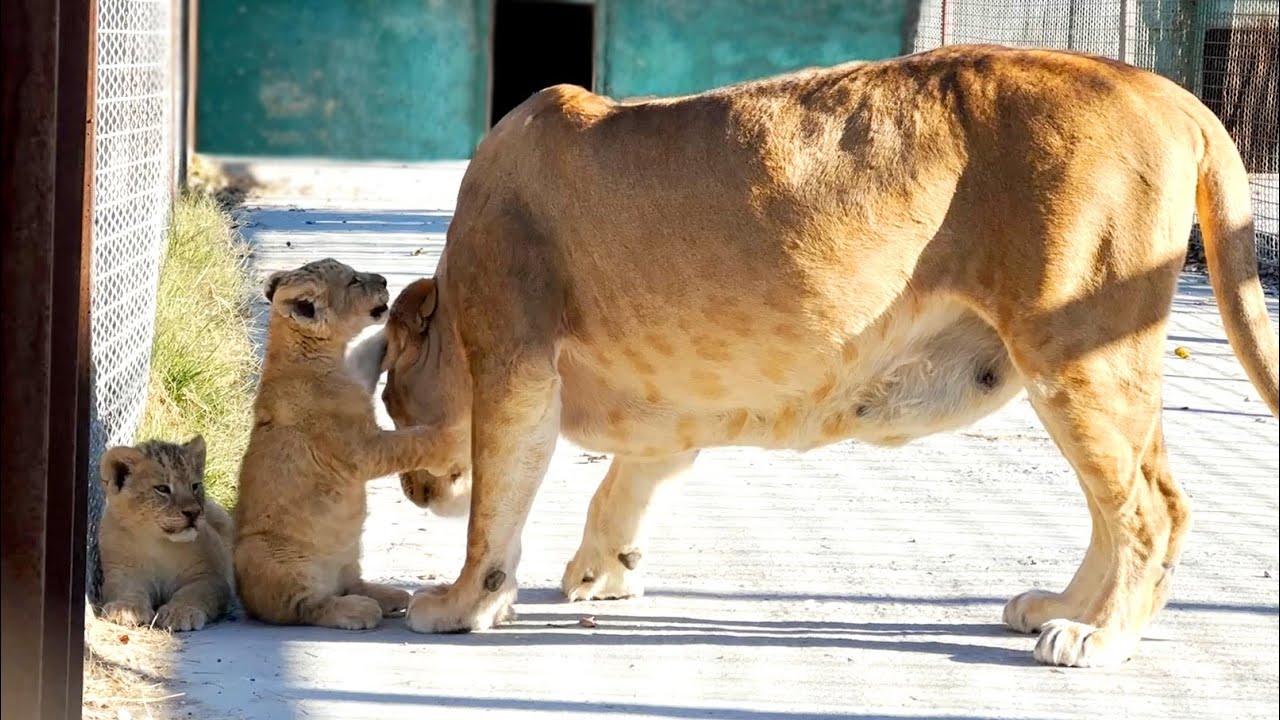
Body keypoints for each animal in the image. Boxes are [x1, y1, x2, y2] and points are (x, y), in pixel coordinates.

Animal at [97, 436, 234, 632]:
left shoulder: (212, 578)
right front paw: (126, 609)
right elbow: (126, 589)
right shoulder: (121, 572)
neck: (159, 543)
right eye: (162, 489)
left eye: (195, 486)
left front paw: (180, 612)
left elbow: (194, 593)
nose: (194, 512)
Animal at [232, 258, 458, 630]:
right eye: (353, 281)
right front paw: (452, 437)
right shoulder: (361, 449)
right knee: (308, 607)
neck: (318, 354)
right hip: (273, 560)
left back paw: (388, 595)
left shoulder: (358, 373)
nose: (383, 279)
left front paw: (399, 322)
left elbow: (369, 351)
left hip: (350, 556)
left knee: (349, 582)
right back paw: (359, 610)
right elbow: (408, 442)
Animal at [365, 44, 1279, 667]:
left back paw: (1095, 637)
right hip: (1064, 366)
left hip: (1076, 350)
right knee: (1112, 502)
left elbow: (499, 497)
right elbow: (629, 478)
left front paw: (461, 603)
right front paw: (604, 569)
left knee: (1153, 506)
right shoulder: (674, 407)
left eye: (392, 404)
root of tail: (1167, 91)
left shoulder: (514, 351)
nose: (414, 492)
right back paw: (1060, 606)